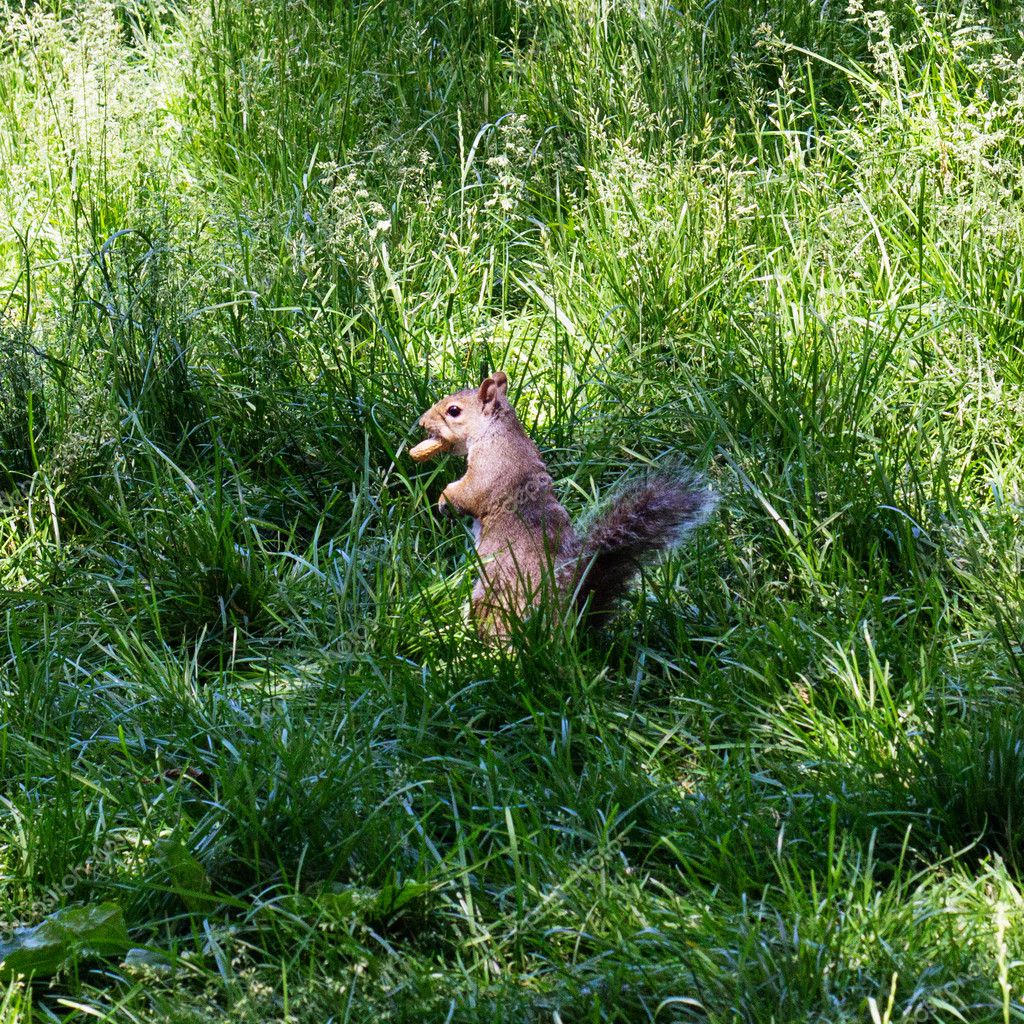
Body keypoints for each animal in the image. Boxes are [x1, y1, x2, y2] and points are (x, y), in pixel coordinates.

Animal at [411, 371, 717, 638]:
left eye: (454, 411)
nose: (422, 423)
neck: (497, 432)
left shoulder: (488, 469)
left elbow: (468, 494)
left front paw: (444, 500)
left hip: (494, 598)